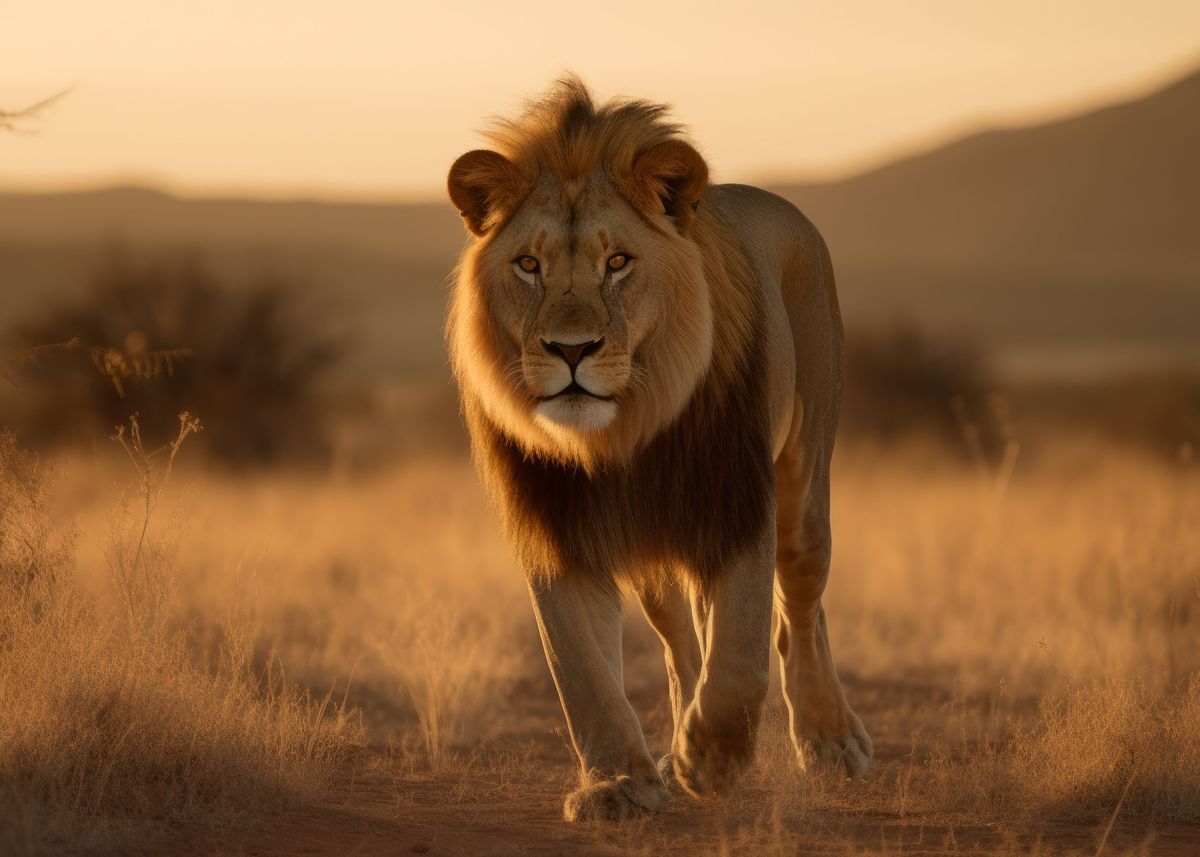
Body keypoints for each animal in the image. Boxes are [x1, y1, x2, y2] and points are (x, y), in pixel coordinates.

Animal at [444, 77, 871, 821]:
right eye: (528, 265)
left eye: (618, 263)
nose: (572, 350)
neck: (618, 438)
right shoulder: (556, 527)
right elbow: (582, 670)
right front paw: (618, 781)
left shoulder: (734, 501)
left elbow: (741, 648)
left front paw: (716, 758)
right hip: (655, 558)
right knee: (681, 636)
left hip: (805, 474)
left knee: (798, 603)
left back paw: (829, 738)